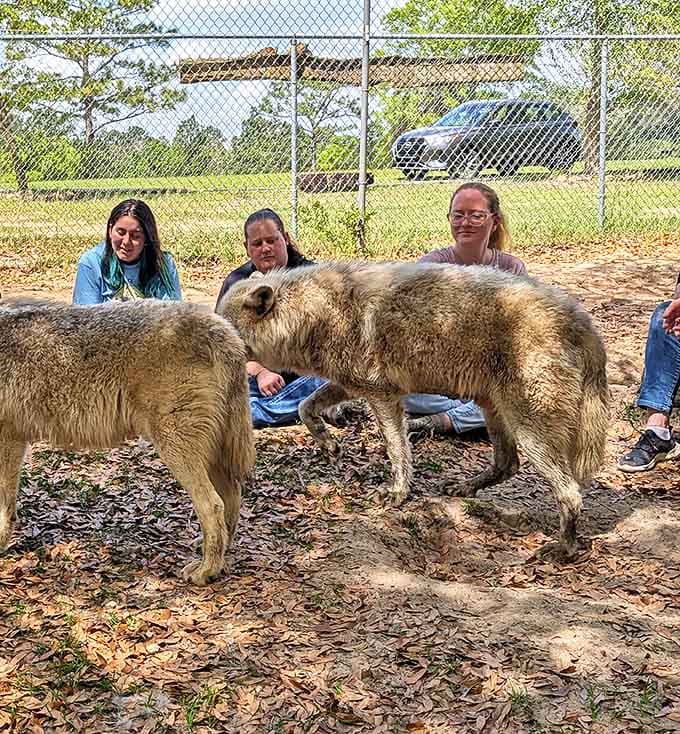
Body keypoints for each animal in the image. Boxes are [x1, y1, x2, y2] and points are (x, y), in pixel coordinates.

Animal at [0, 298, 255, 585]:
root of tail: (225, 330)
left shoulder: (8, 438)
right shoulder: (15, 438)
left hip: (176, 448)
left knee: (212, 505)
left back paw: (206, 570)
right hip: (209, 454)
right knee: (231, 496)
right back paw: (219, 559)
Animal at [217, 261, 609, 559]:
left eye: (224, 327)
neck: (315, 314)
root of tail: (582, 319)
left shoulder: (383, 396)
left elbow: (397, 450)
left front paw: (397, 492)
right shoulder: (349, 385)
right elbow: (304, 407)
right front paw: (329, 444)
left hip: (528, 429)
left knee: (570, 491)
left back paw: (565, 547)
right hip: (495, 411)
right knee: (507, 464)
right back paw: (465, 487)